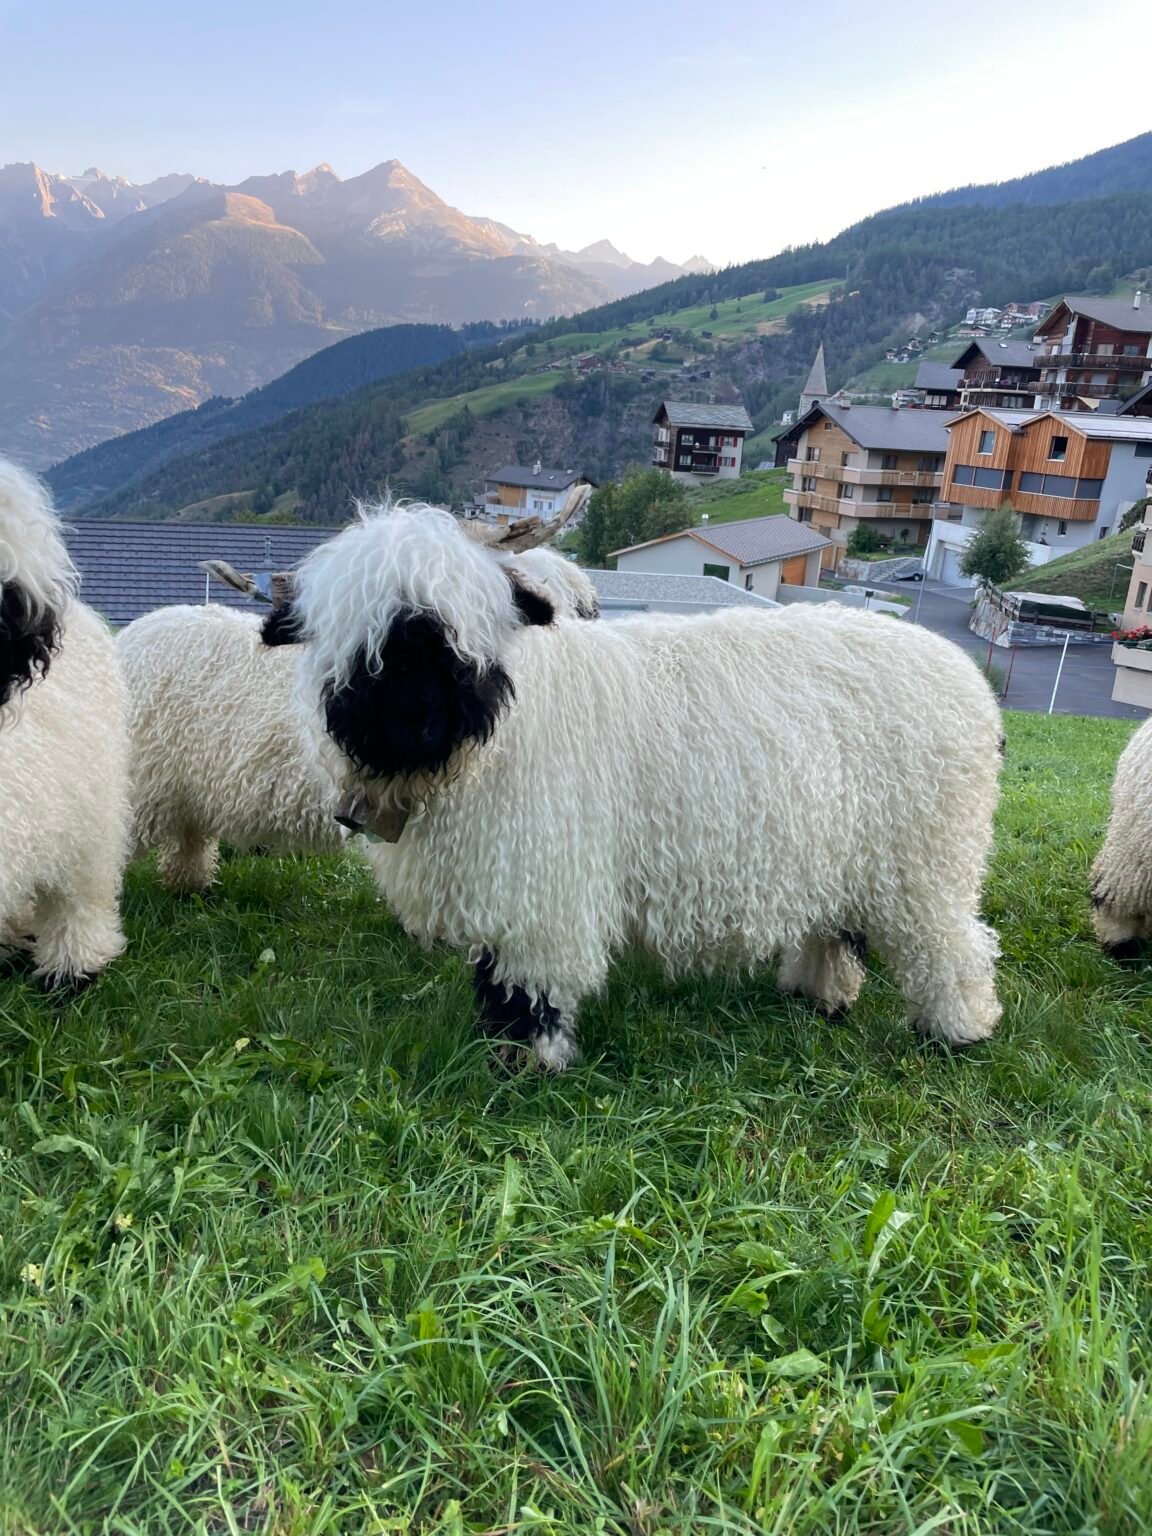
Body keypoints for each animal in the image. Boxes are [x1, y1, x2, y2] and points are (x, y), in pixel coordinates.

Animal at [286, 502, 1005, 1069]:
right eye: (368, 644)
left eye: (457, 634)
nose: (419, 721)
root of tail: (971, 683)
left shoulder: (540, 879)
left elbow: (527, 984)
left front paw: (524, 1062)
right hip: (850, 843)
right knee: (839, 929)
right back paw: (818, 994)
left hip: (928, 856)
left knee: (953, 944)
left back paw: (957, 1029)